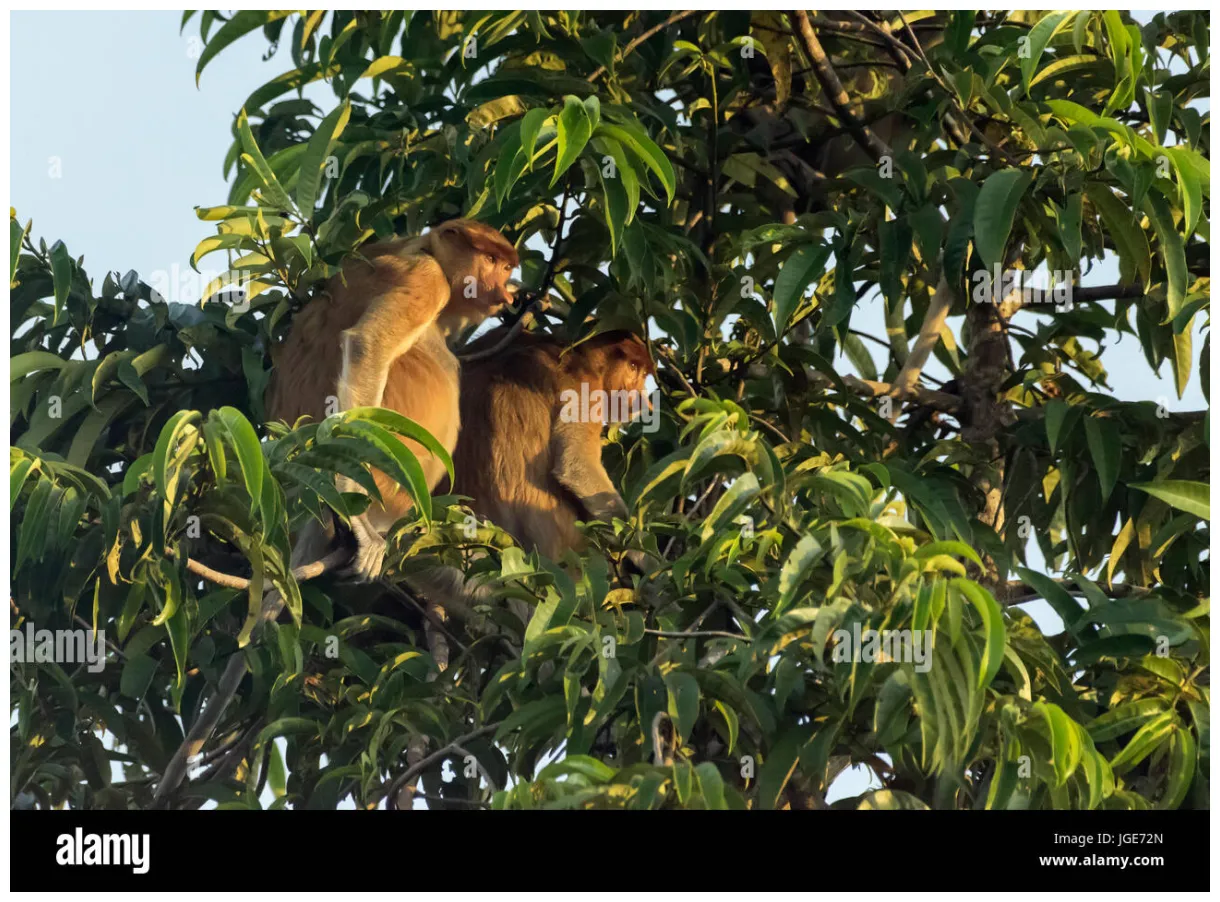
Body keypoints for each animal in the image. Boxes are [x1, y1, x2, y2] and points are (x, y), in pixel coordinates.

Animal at [265, 218, 519, 582]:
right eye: (489, 259)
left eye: (506, 266)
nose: (506, 292)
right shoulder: (427, 278)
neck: (427, 249)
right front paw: (354, 513)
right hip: (391, 482)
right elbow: (367, 345)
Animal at [452, 328, 655, 567]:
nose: (643, 401)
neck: (582, 358)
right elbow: (576, 466)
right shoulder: (585, 387)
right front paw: (644, 556)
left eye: (643, 372)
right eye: (633, 367)